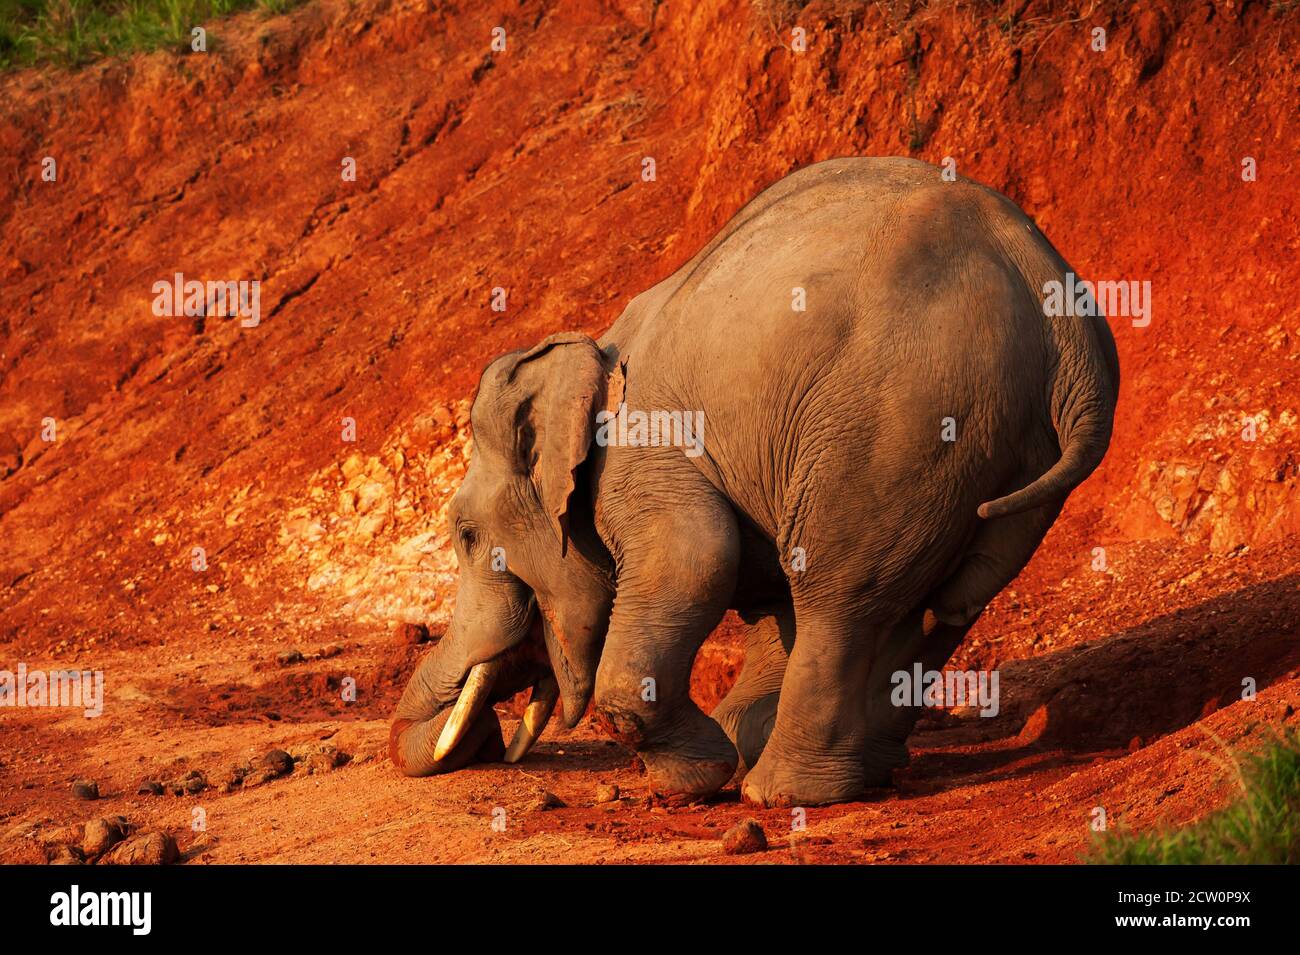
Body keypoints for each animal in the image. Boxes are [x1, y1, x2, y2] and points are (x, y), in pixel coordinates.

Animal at [389, 156, 1119, 807]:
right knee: (942, 602)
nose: (486, 739)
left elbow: (700, 558)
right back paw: (863, 771)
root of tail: (1061, 317)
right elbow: (764, 591)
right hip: (1004, 458)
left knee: (839, 589)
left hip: (900, 420)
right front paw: (735, 742)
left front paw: (698, 775)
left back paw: (782, 793)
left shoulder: (646, 452)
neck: (589, 353)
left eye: (465, 534)